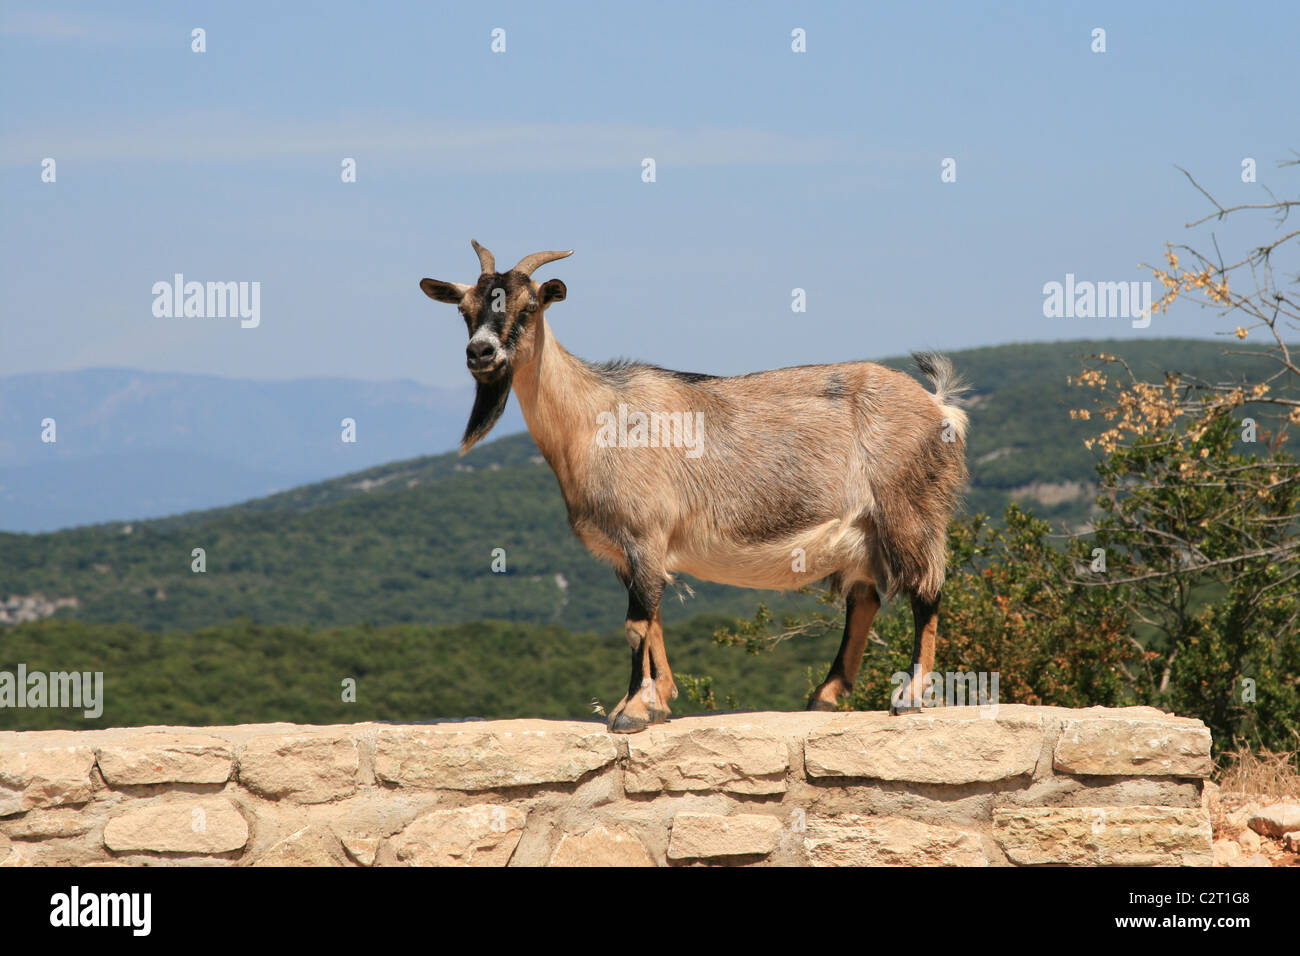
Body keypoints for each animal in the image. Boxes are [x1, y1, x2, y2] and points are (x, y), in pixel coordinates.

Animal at [420, 241, 969, 733]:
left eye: (529, 306)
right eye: (465, 309)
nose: (480, 352)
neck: (593, 417)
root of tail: (939, 405)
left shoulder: (644, 534)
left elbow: (636, 624)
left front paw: (632, 712)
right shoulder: (635, 552)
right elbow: (654, 620)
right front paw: (657, 701)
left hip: (909, 507)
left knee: (926, 591)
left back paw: (910, 696)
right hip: (864, 533)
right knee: (865, 600)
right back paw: (825, 698)